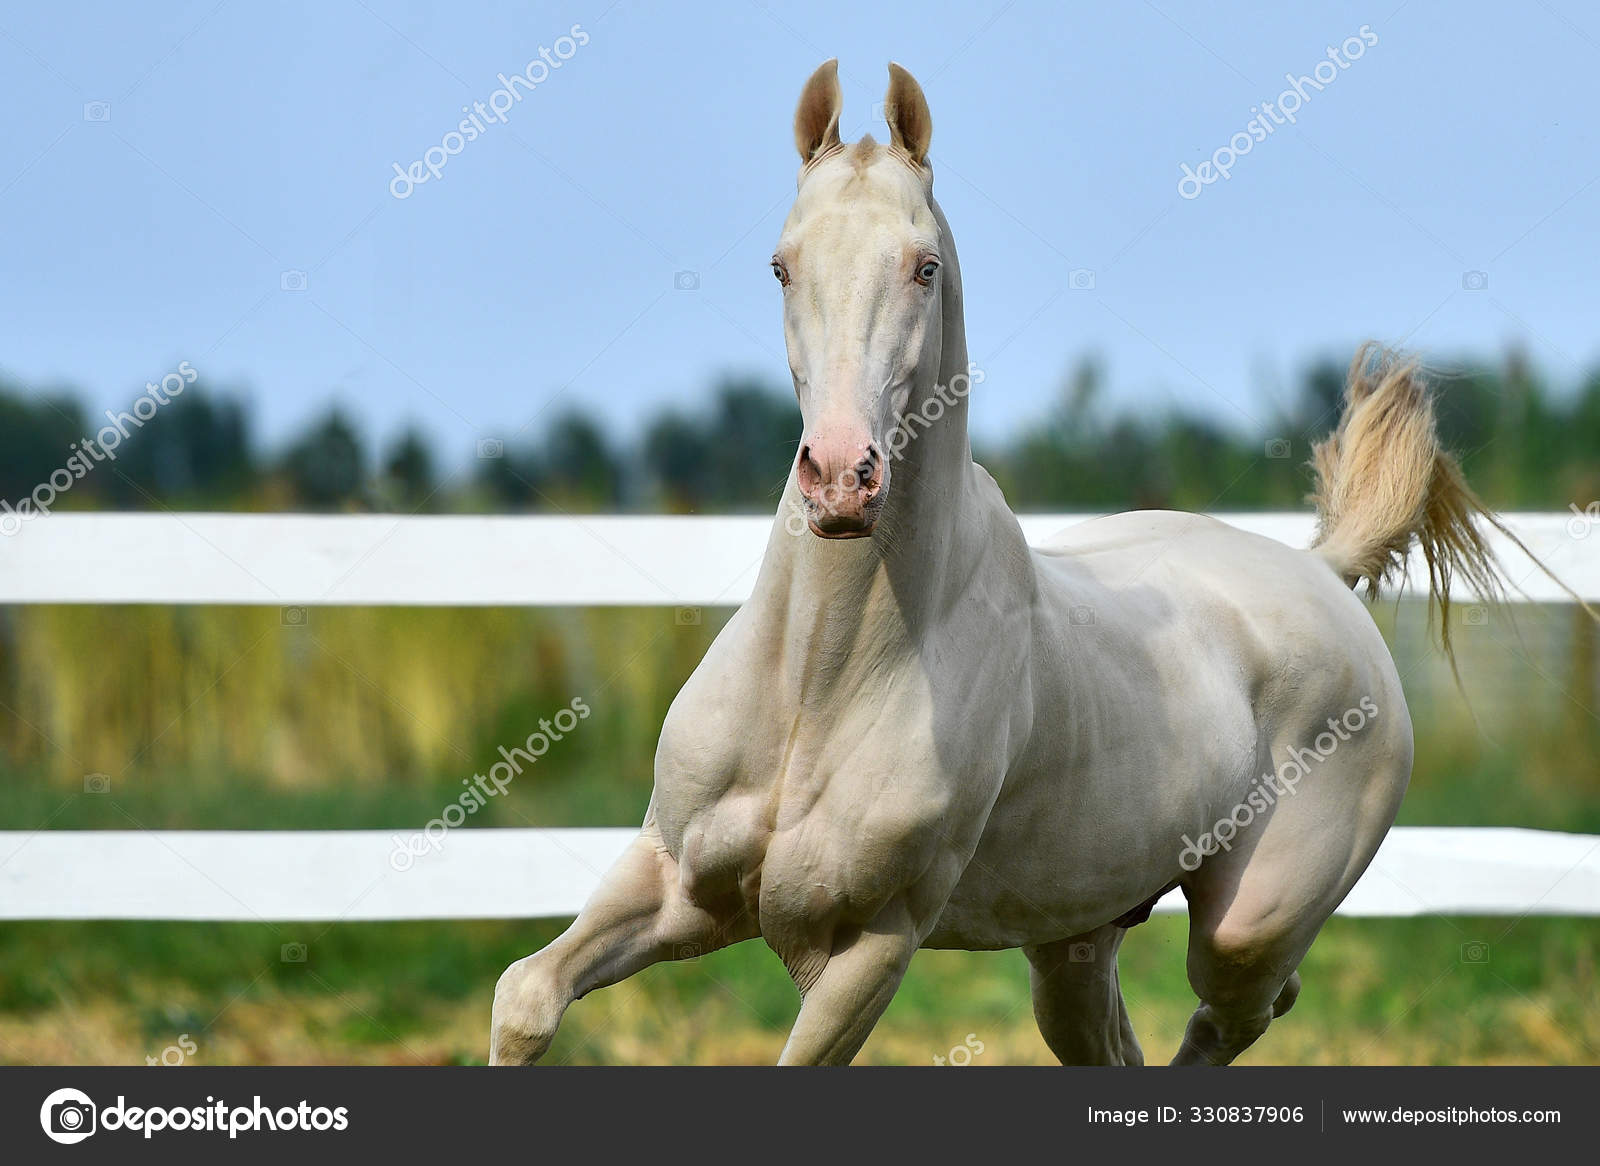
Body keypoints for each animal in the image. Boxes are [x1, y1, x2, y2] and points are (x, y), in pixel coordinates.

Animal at [488, 60, 1569, 1065]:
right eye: (781, 266)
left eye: (923, 266)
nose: (840, 478)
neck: (821, 682)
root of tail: (1321, 574)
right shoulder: (676, 884)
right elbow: (525, 996)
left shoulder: (870, 946)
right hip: (1073, 944)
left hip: (1245, 928)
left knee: (1240, 1008)